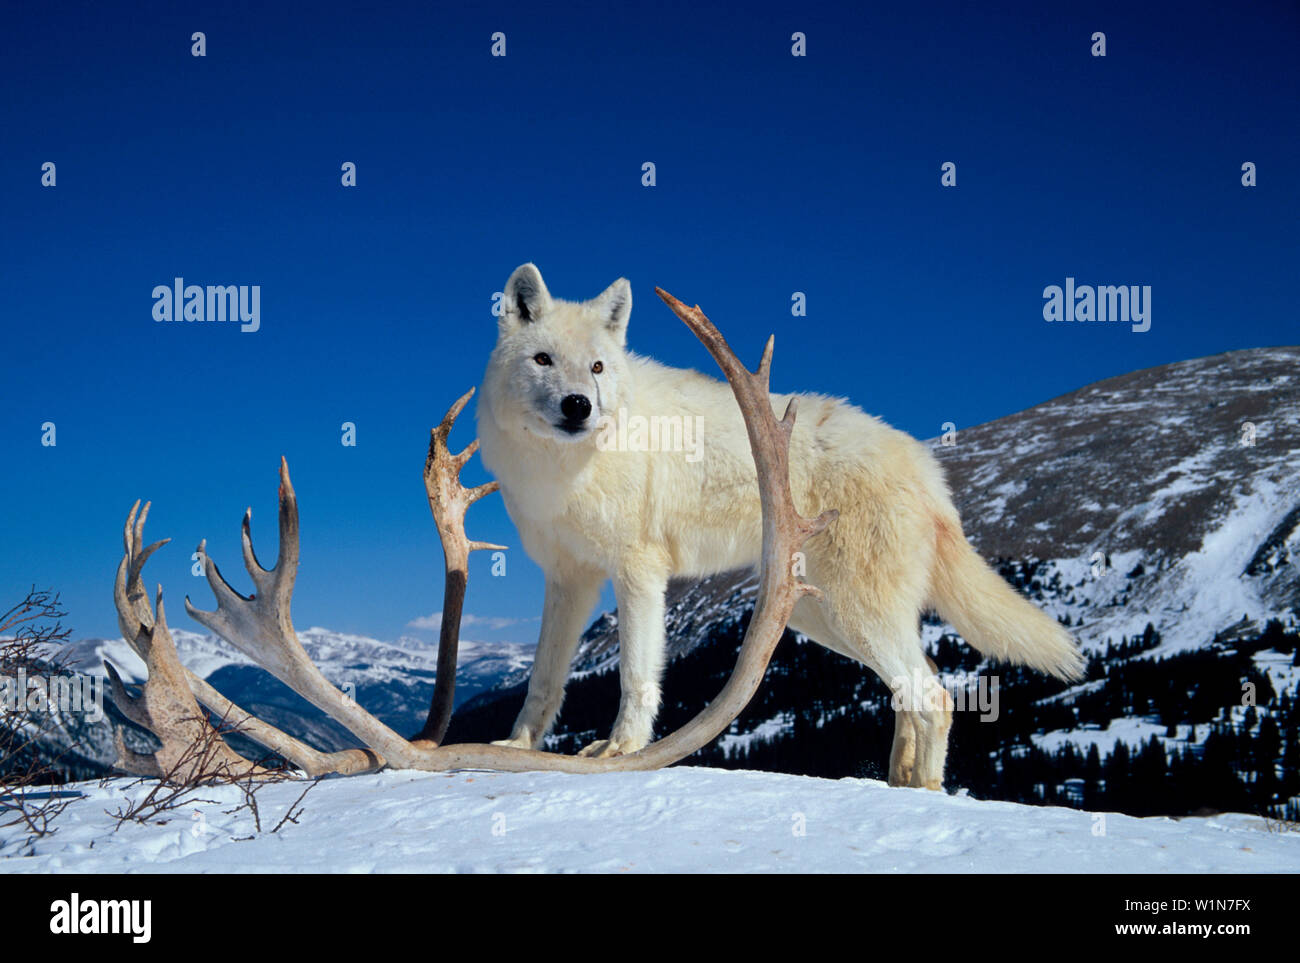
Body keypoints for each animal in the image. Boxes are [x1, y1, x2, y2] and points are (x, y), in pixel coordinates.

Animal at [478, 263, 1083, 788]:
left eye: (598, 368)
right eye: (543, 359)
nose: (579, 406)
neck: (562, 469)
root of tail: (930, 473)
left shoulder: (639, 573)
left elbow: (636, 676)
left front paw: (619, 751)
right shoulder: (569, 579)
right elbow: (543, 678)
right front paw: (516, 748)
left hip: (852, 615)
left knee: (935, 699)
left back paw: (926, 795)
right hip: (825, 619)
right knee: (916, 687)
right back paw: (898, 783)